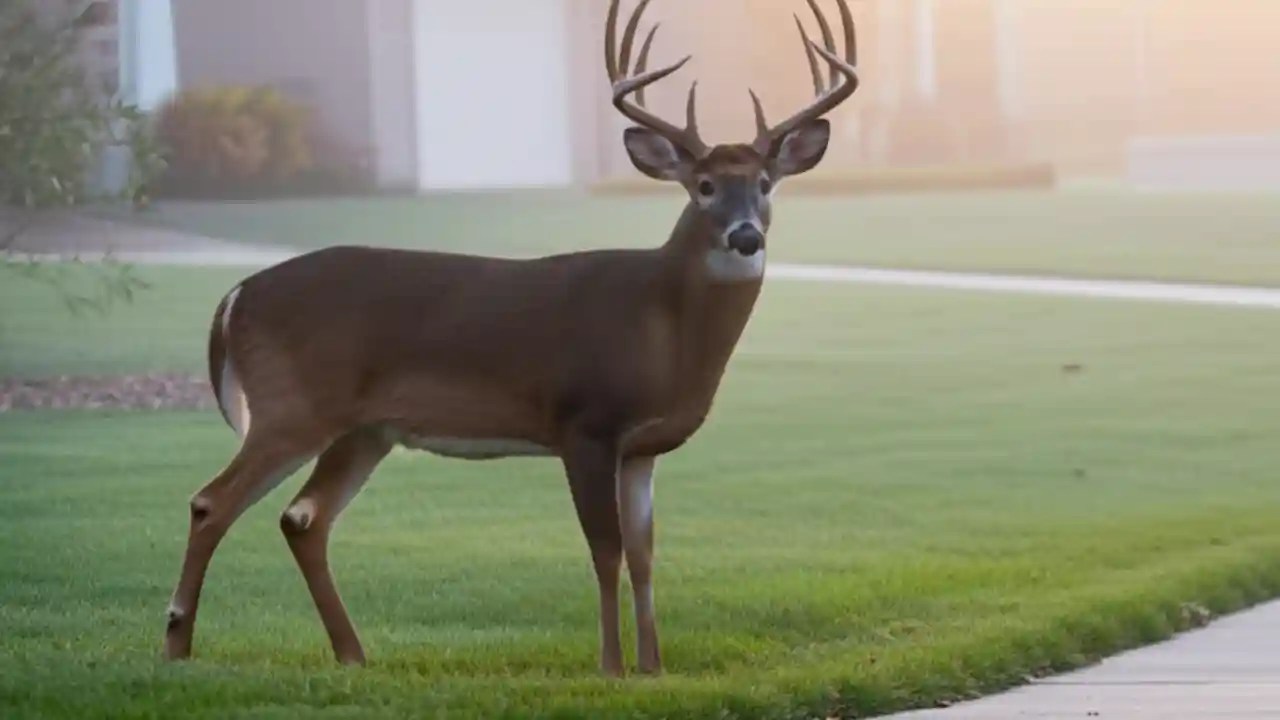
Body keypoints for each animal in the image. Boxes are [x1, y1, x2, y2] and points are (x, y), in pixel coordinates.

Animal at [162, 0, 860, 677]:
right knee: (211, 501)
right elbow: (604, 549)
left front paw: (655, 668)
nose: (746, 235)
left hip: (364, 430)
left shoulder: (642, 448)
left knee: (303, 518)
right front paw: (612, 668)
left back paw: (353, 655)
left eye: (765, 184)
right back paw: (177, 645)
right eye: (705, 186)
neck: (664, 328)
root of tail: (235, 296)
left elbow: (645, 553)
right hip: (293, 404)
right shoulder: (584, 422)